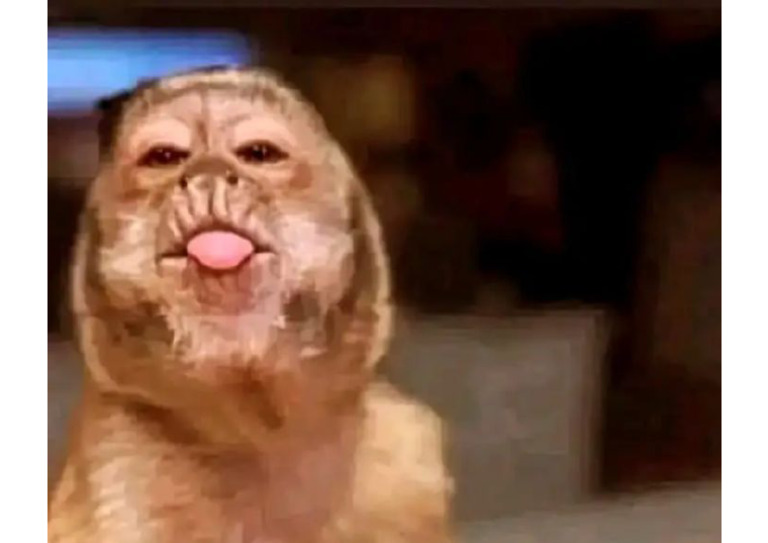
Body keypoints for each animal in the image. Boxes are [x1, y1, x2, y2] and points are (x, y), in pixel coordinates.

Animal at [48, 66, 455, 543]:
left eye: (258, 154)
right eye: (165, 157)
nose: (208, 174)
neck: (251, 430)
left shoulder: (407, 476)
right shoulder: (114, 473)